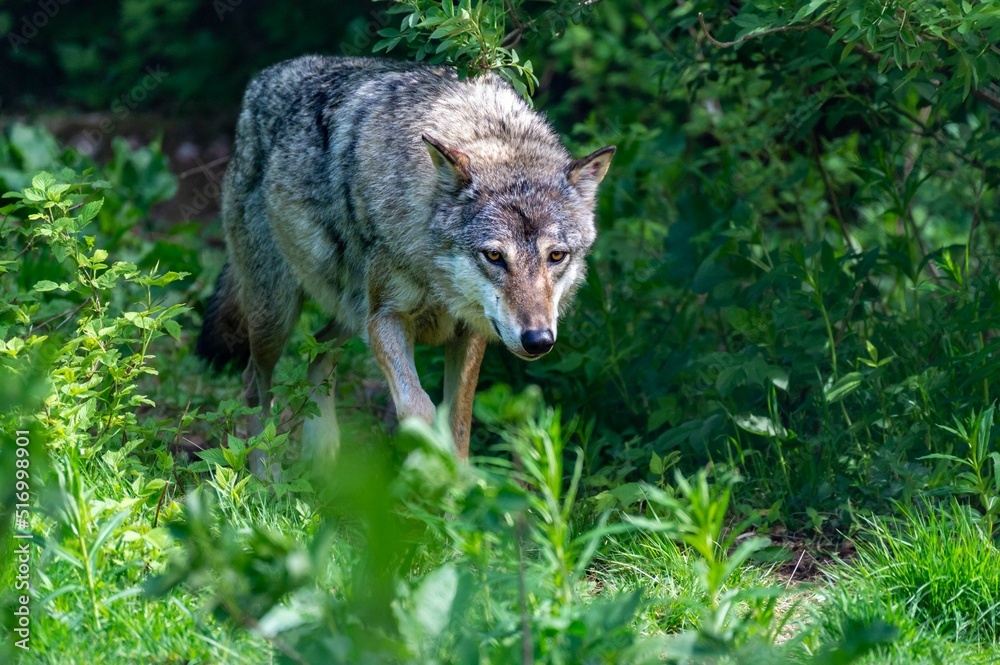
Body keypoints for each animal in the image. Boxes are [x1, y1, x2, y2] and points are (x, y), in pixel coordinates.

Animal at [196, 55, 614, 474]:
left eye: (556, 256)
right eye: (495, 256)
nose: (538, 340)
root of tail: (263, 80)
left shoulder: (469, 331)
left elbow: (459, 420)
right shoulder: (386, 320)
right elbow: (419, 410)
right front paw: (433, 470)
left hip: (352, 311)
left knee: (318, 352)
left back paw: (324, 452)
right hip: (279, 318)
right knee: (254, 383)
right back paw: (266, 474)